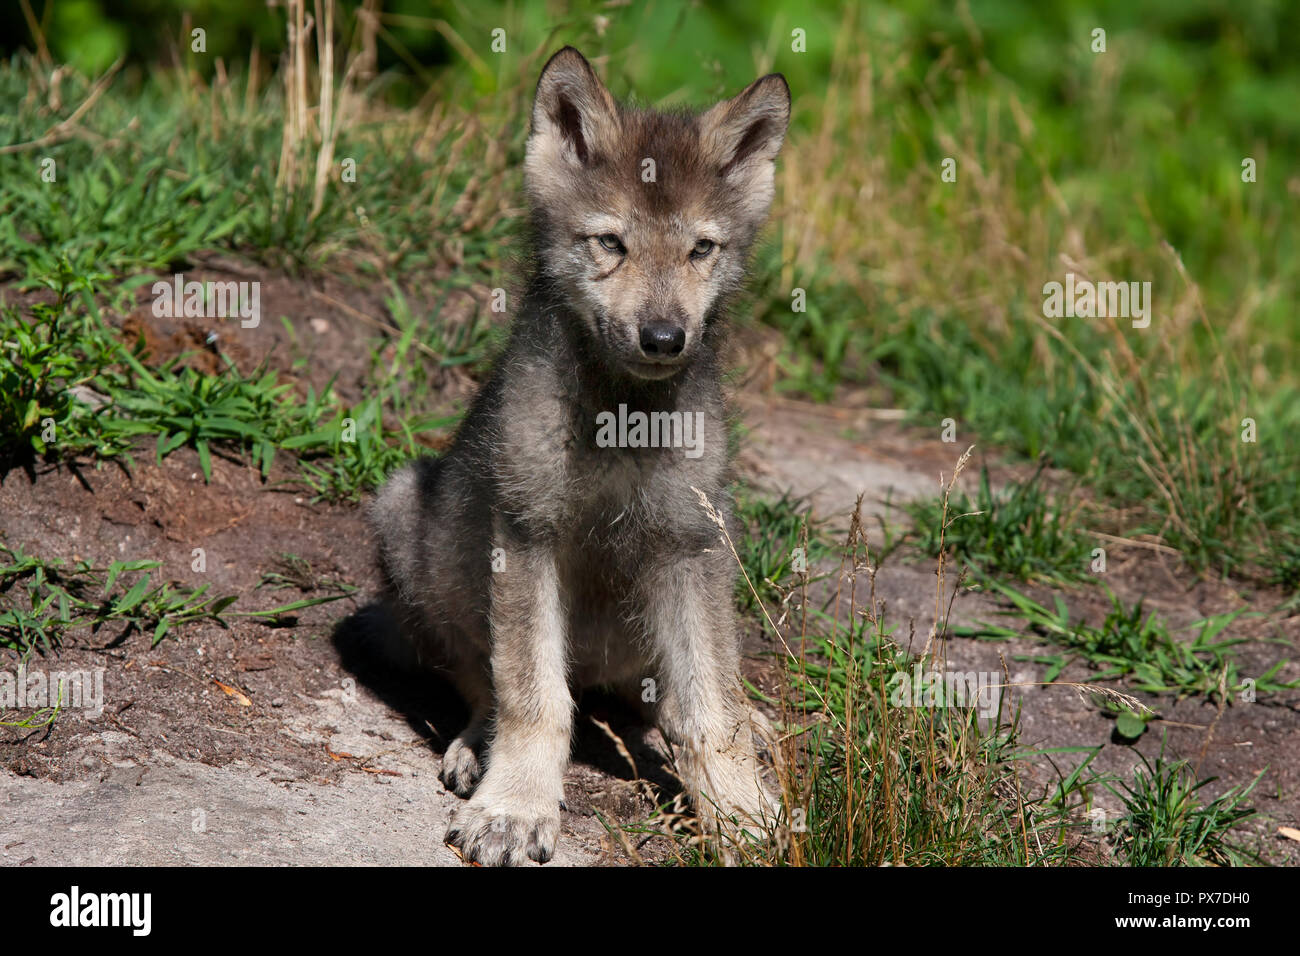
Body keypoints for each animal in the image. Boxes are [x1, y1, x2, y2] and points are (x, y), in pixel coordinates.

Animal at [369, 46, 790, 866]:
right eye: (611, 243)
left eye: (701, 248)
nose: (664, 338)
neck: (623, 422)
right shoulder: (528, 535)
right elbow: (534, 697)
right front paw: (514, 808)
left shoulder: (690, 544)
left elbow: (710, 710)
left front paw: (742, 815)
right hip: (406, 518)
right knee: (488, 684)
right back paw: (475, 748)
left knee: (675, 695)